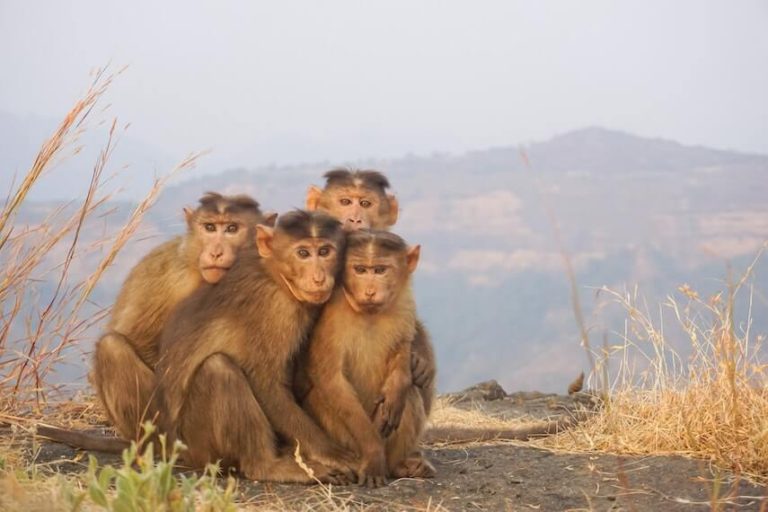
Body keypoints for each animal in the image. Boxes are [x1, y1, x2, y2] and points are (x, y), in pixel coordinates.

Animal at [91, 192, 275, 443]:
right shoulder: (169, 277)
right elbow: (138, 340)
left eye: (231, 228)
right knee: (111, 347)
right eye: (209, 227)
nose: (215, 252)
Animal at [153, 210, 356, 484]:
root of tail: (174, 449)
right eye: (303, 253)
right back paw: (267, 466)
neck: (275, 276)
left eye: (325, 251)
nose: (319, 277)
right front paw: (330, 452)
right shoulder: (274, 310)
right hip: (199, 446)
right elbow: (266, 384)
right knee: (219, 369)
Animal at [299, 230, 435, 487]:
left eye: (380, 270)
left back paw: (400, 465)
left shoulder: (405, 303)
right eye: (360, 270)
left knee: (410, 395)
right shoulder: (332, 315)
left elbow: (403, 346)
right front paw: (373, 454)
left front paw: (397, 386)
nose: (370, 291)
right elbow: (331, 379)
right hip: (346, 441)